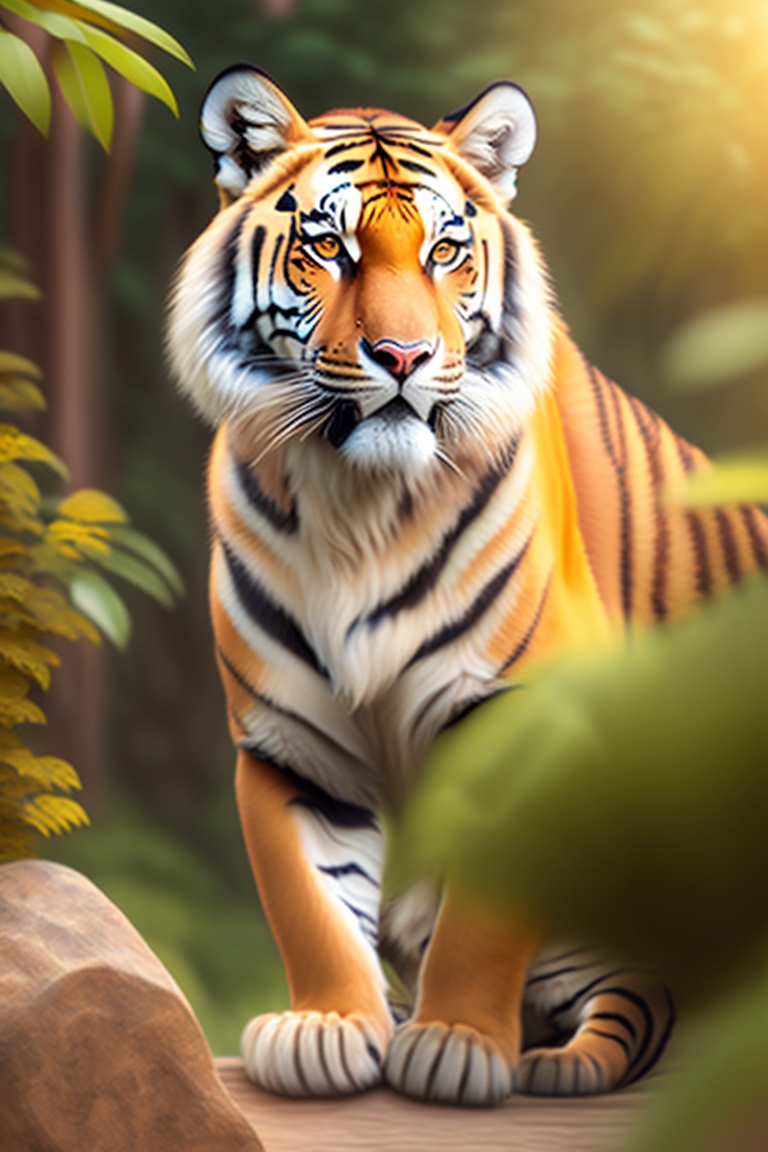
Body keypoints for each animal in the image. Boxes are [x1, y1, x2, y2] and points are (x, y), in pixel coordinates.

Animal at [167, 65, 768, 1106]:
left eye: (445, 251)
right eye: (328, 248)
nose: (403, 359)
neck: (359, 502)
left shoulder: (520, 719)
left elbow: (484, 912)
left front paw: (454, 1042)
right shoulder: (290, 740)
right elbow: (309, 900)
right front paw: (328, 1030)